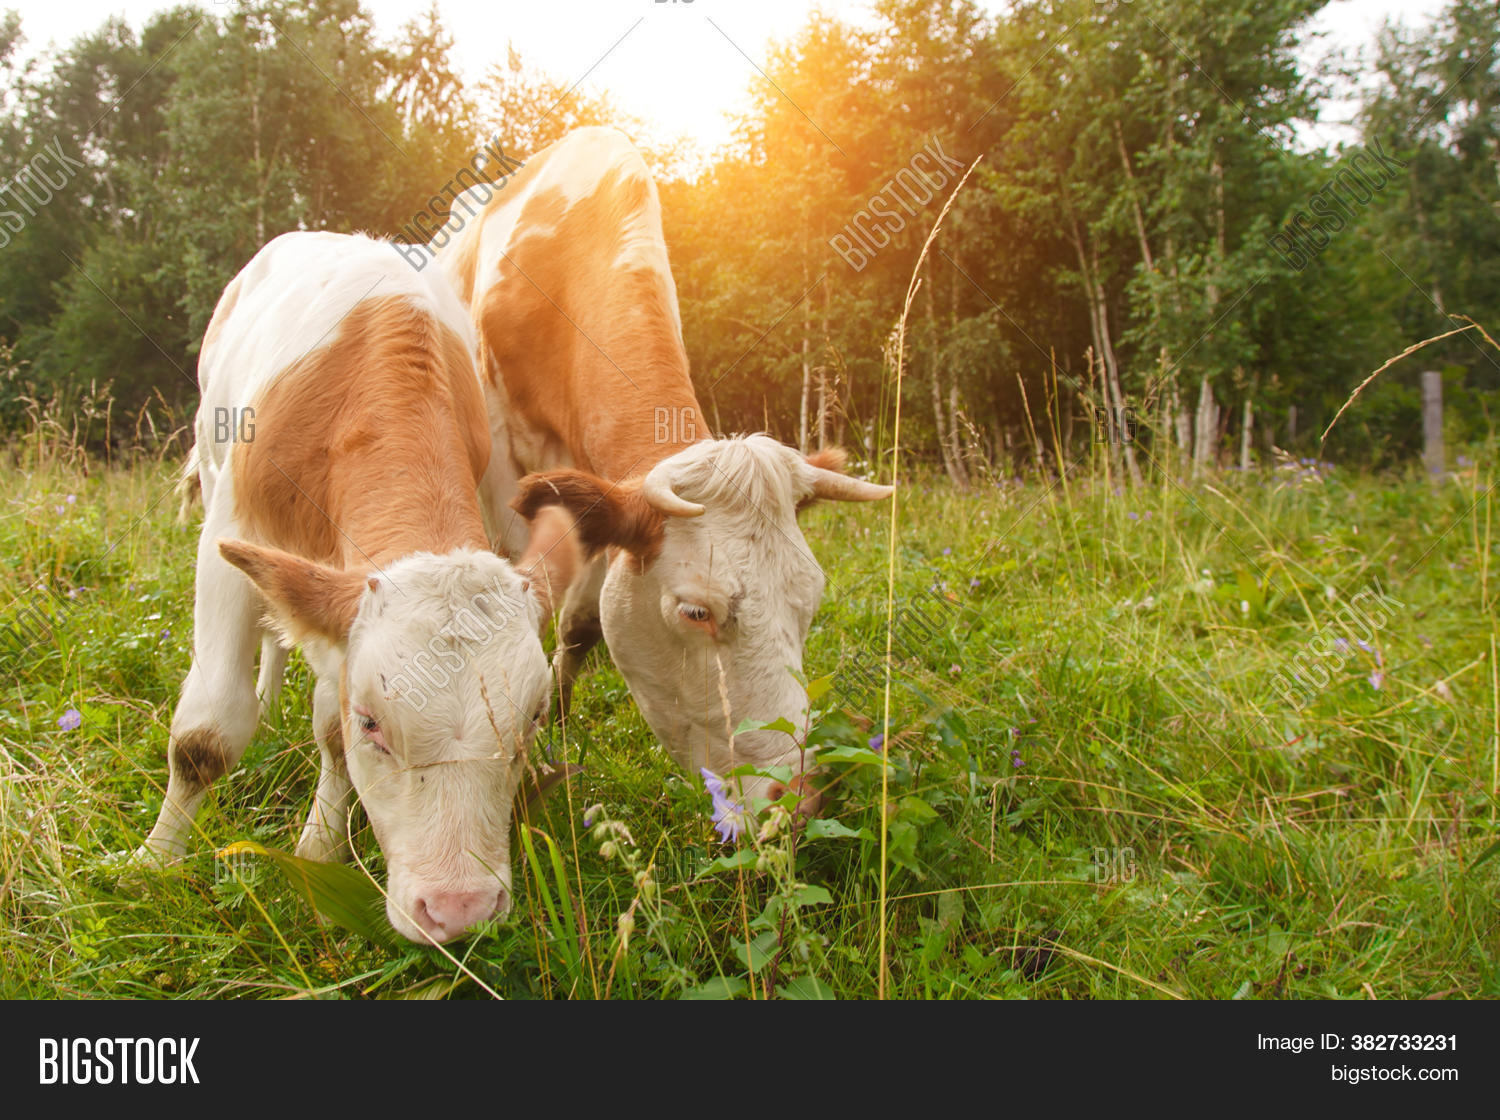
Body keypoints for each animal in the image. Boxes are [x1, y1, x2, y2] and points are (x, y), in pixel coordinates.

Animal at [137, 231, 580, 944]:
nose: (459, 909)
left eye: (533, 719)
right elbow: (207, 734)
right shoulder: (228, 535)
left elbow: (328, 727)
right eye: (373, 722)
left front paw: (318, 857)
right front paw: (152, 864)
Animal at [429, 126, 892, 814]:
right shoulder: (508, 465)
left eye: (809, 602)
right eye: (697, 612)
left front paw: (558, 719)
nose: (801, 796)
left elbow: (581, 622)